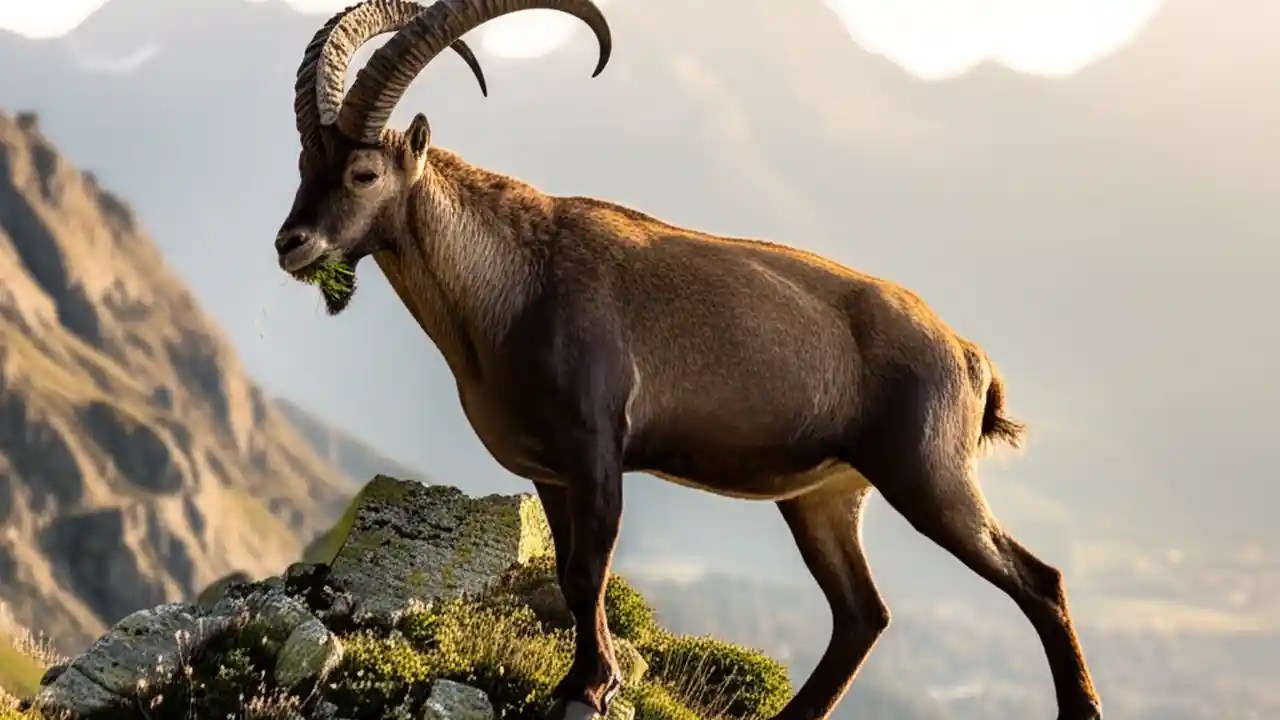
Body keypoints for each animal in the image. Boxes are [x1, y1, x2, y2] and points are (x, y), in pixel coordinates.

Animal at [273, 1, 1103, 718]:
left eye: (363, 174)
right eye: (304, 164)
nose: (291, 244)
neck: (510, 281)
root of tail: (967, 354)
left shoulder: (598, 447)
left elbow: (589, 570)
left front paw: (590, 689)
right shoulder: (550, 472)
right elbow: (572, 574)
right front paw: (581, 681)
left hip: (926, 473)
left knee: (1038, 580)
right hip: (826, 496)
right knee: (863, 614)